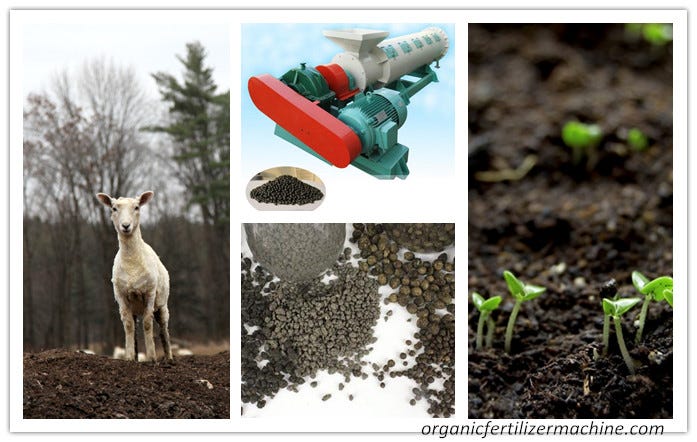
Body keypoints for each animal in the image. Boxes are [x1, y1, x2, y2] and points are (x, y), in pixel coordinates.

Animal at [96, 191, 173, 362]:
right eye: (114, 208)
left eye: (137, 207)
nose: (126, 226)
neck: (132, 262)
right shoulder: (122, 296)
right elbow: (128, 325)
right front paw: (130, 357)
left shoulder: (150, 293)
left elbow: (148, 324)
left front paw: (151, 357)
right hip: (135, 307)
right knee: (135, 328)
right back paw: (137, 357)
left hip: (162, 304)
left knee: (163, 329)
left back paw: (169, 358)